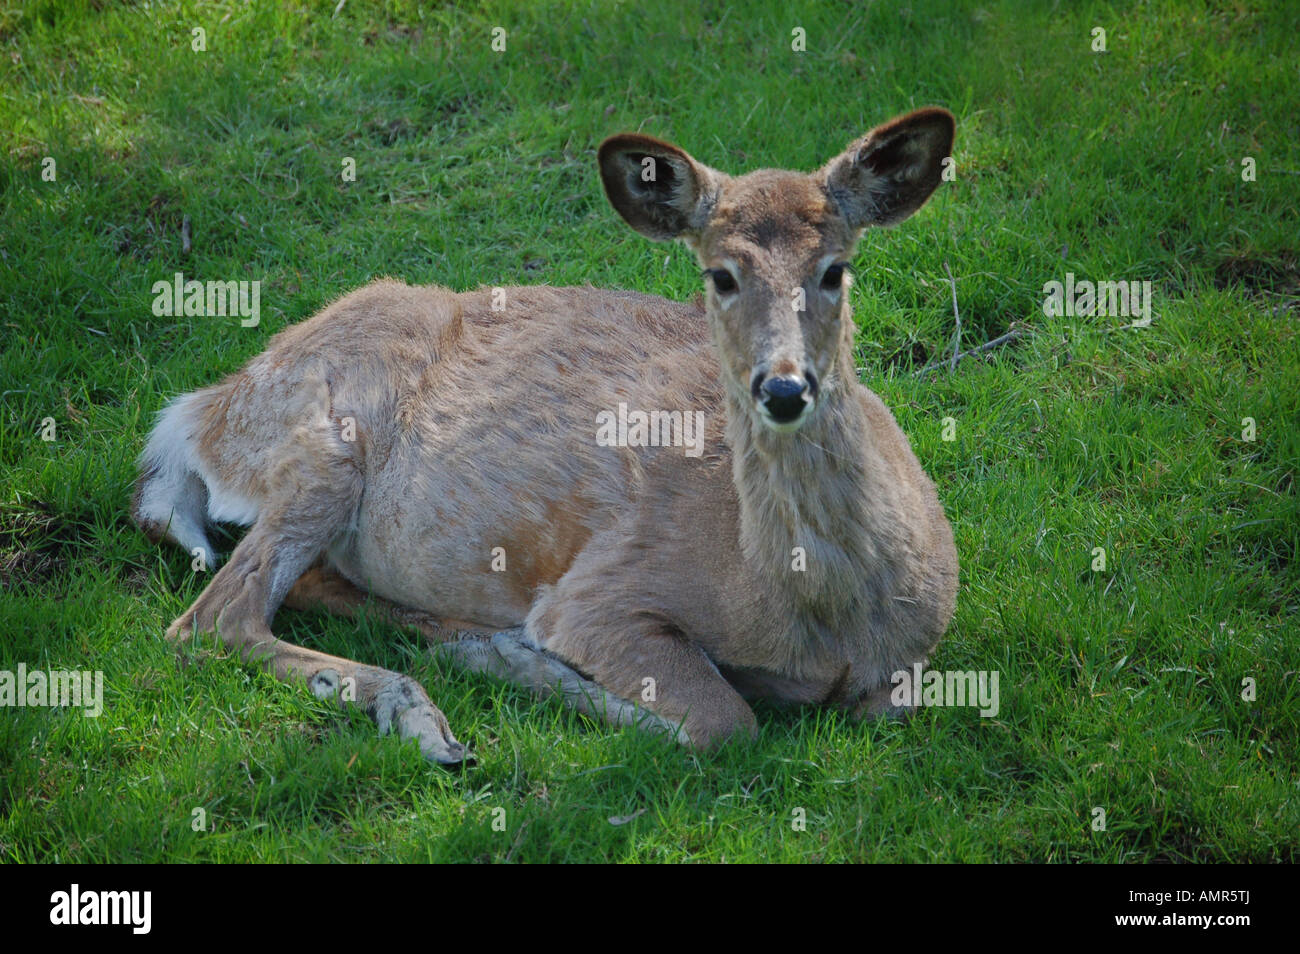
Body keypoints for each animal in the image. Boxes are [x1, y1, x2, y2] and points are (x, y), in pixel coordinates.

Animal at [133, 107, 959, 764]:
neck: (820, 616)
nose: (784, 387)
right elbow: (723, 722)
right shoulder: (601, 594)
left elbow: (888, 709)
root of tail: (203, 408)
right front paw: (526, 667)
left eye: (836, 269)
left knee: (304, 587)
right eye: (720, 275)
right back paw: (432, 713)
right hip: (324, 445)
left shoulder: (913, 657)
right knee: (213, 620)